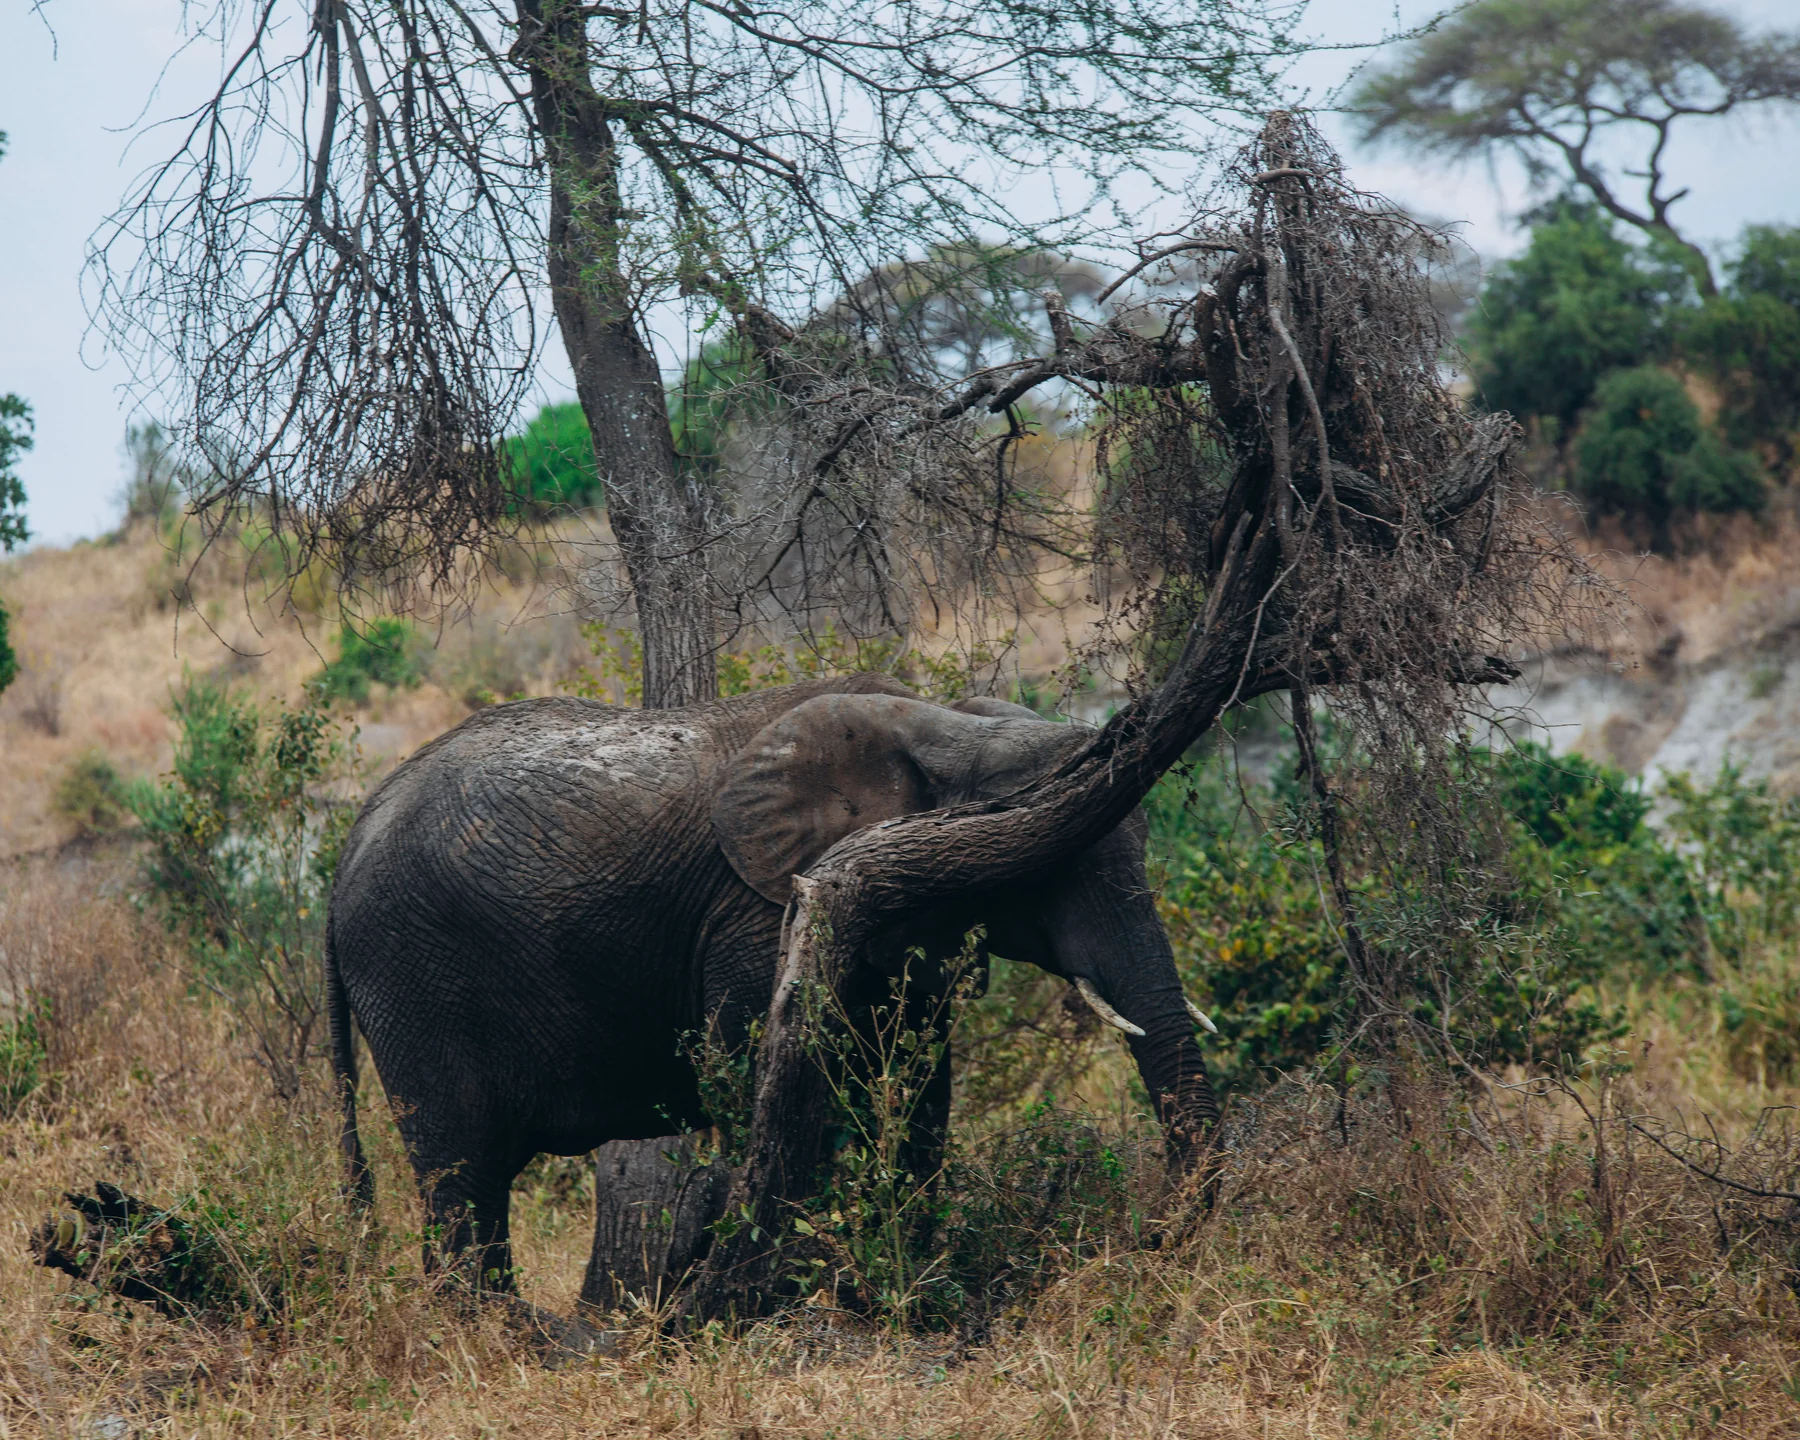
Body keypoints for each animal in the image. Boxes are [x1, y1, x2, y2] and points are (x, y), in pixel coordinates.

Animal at [325, 672, 1221, 1309]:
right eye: (1051, 865)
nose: (1146, 1239)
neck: (942, 727)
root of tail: (346, 848)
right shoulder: (761, 911)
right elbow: (781, 1084)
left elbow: (921, 1088)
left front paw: (902, 1283)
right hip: (414, 975)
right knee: (463, 1174)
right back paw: (496, 1336)